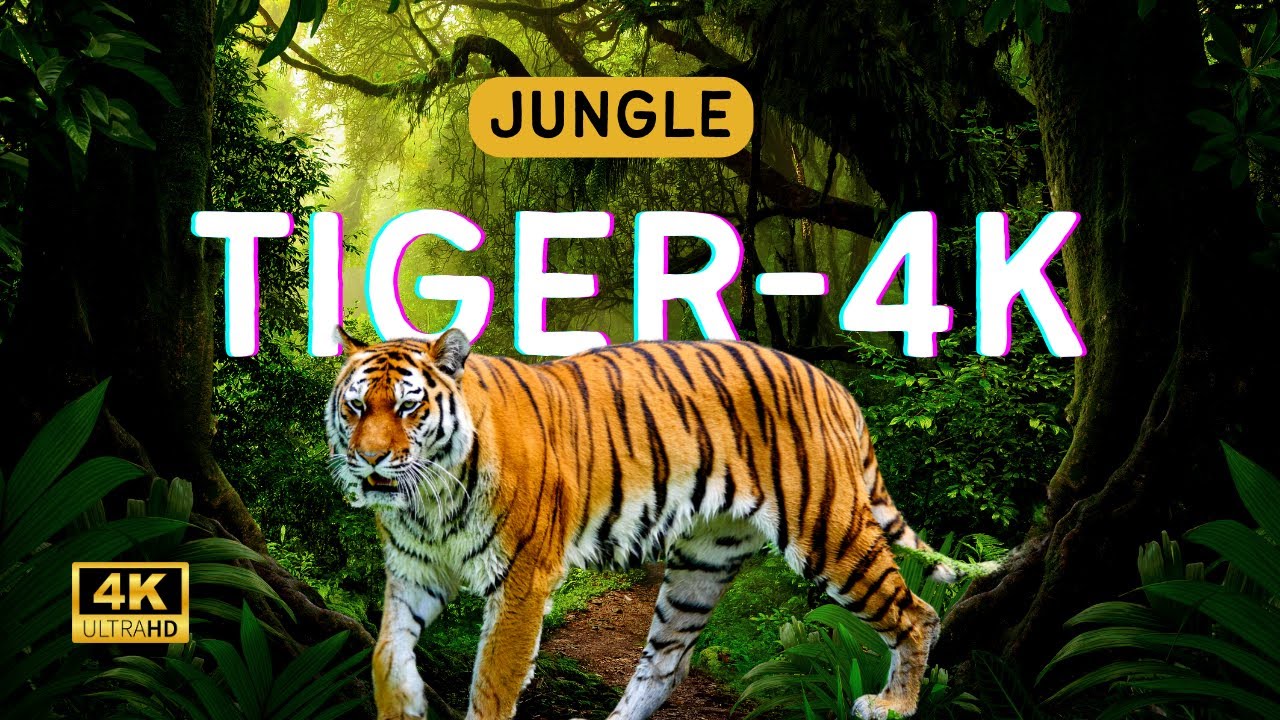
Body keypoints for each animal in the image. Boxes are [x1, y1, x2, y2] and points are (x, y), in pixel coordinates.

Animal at [325, 327, 959, 720]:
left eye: (408, 407)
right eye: (356, 406)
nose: (372, 459)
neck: (427, 501)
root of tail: (834, 384)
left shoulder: (522, 582)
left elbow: (493, 682)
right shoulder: (414, 574)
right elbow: (386, 655)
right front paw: (404, 705)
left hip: (828, 531)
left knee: (917, 615)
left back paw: (893, 706)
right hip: (702, 562)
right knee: (666, 665)